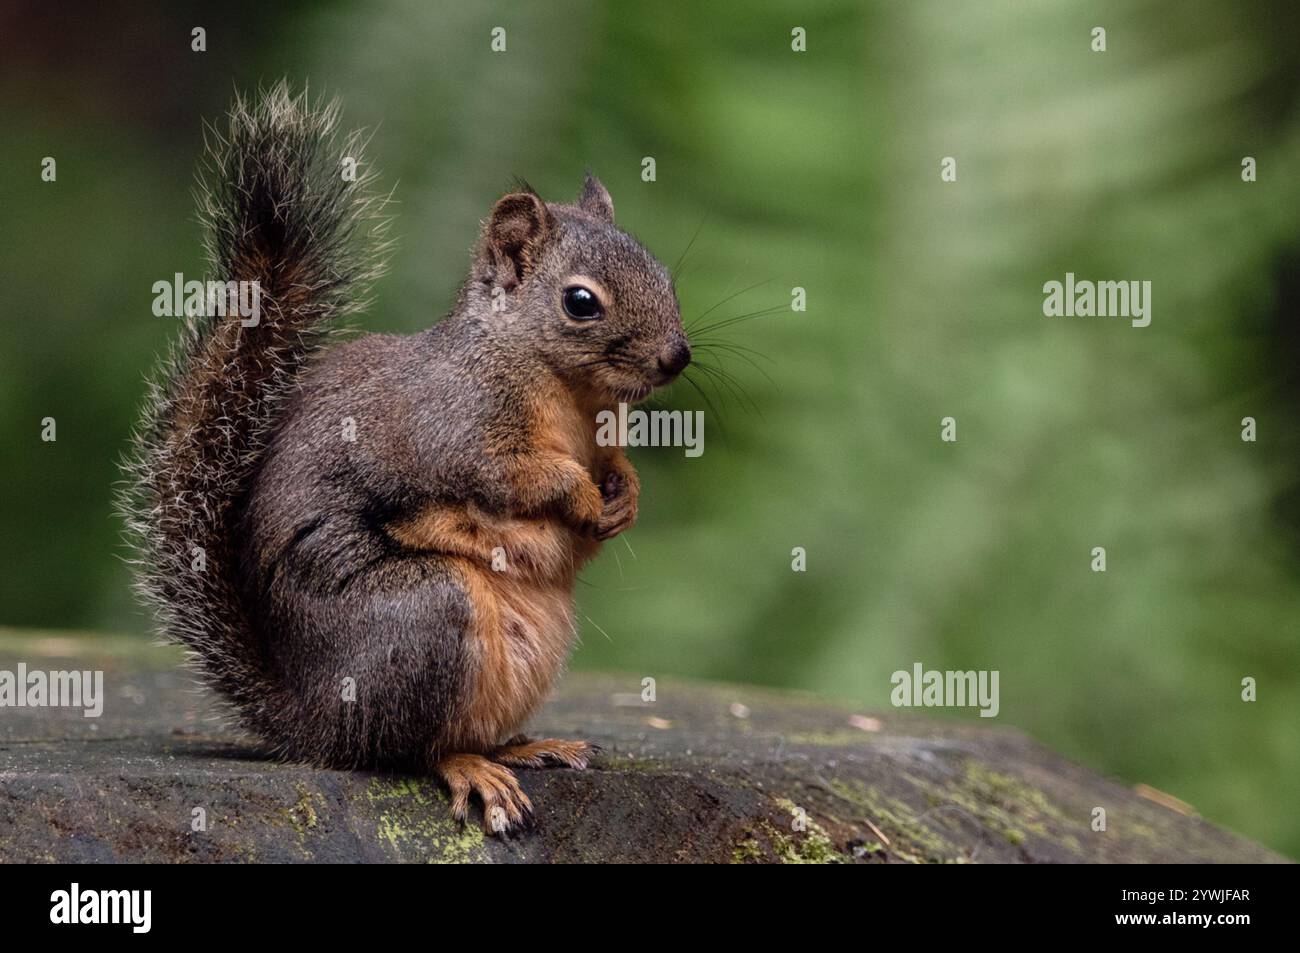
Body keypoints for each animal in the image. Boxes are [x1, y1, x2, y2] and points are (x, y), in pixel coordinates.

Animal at [120, 83, 691, 833]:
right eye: (580, 302)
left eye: (662, 272)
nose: (678, 357)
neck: (568, 392)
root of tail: (314, 721)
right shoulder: (456, 430)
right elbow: (515, 477)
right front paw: (584, 494)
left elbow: (612, 472)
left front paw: (626, 493)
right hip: (429, 616)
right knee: (407, 747)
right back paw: (471, 769)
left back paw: (528, 745)